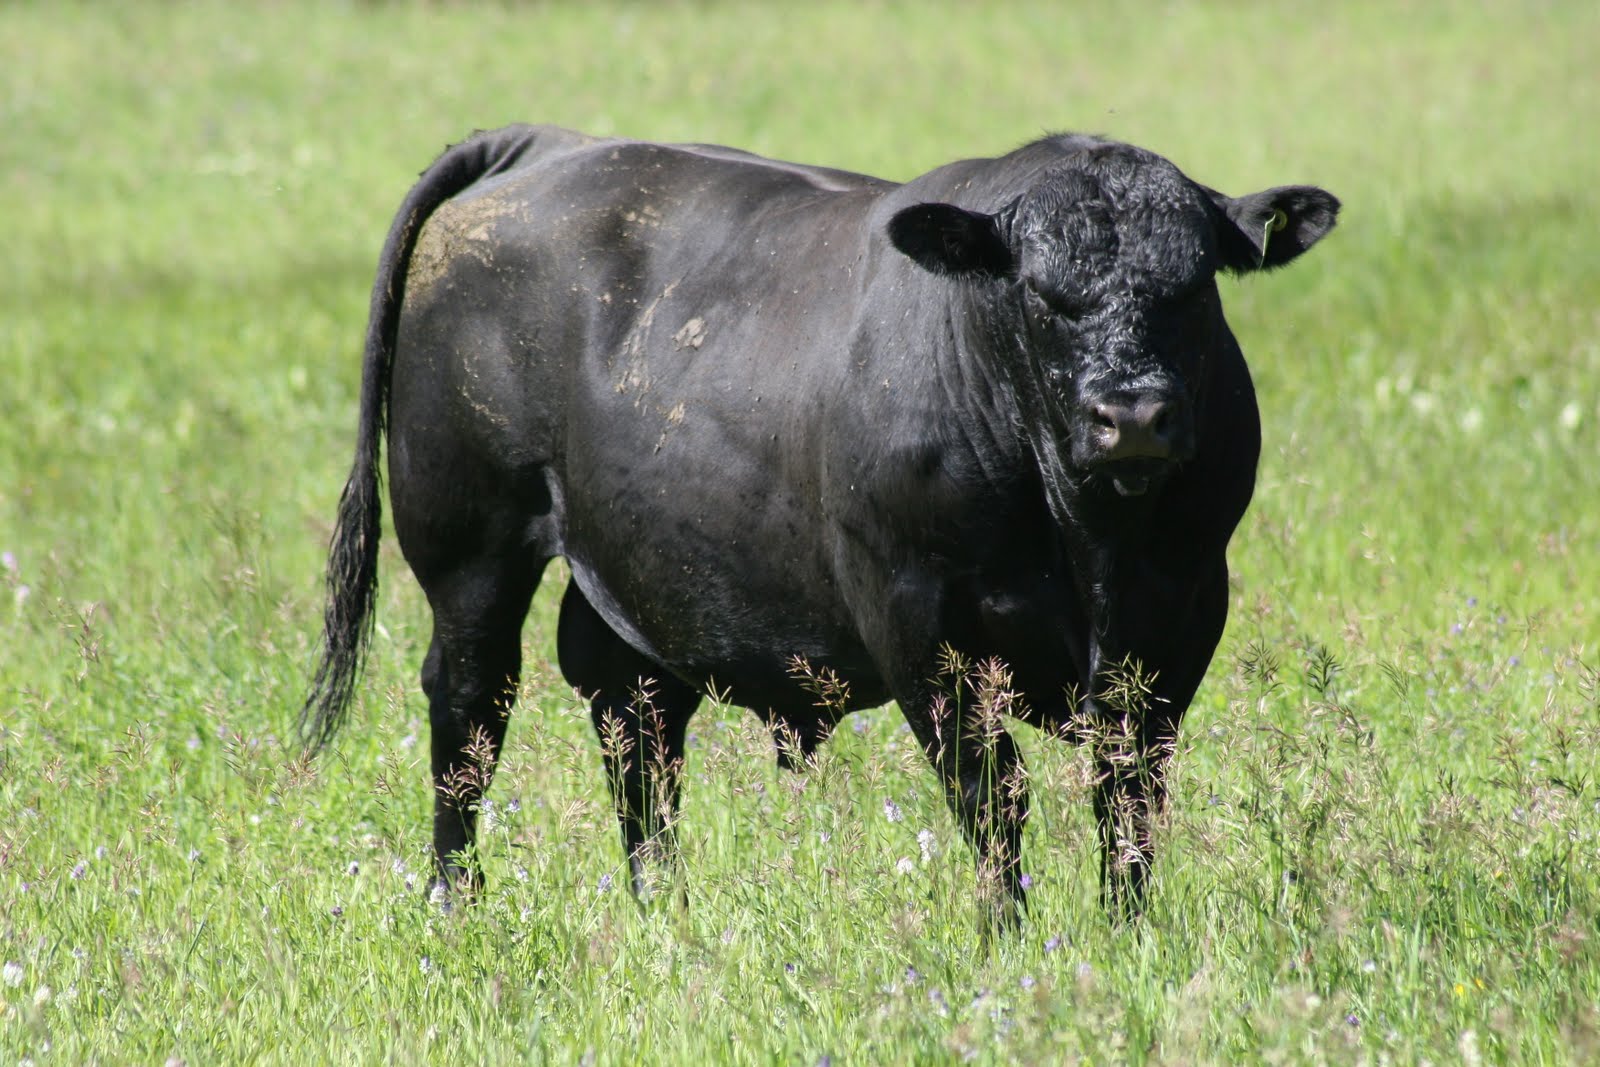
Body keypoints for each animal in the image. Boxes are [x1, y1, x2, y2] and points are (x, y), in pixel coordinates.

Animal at [302, 125, 1338, 930]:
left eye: (1195, 284)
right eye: (1042, 293)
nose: (1133, 416)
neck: (1089, 537)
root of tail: (552, 145)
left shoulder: (1176, 614)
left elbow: (1129, 794)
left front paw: (1129, 935)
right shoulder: (922, 624)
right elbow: (994, 794)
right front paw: (1007, 938)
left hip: (629, 571)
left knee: (633, 715)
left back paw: (664, 911)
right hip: (468, 545)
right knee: (472, 707)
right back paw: (456, 904)